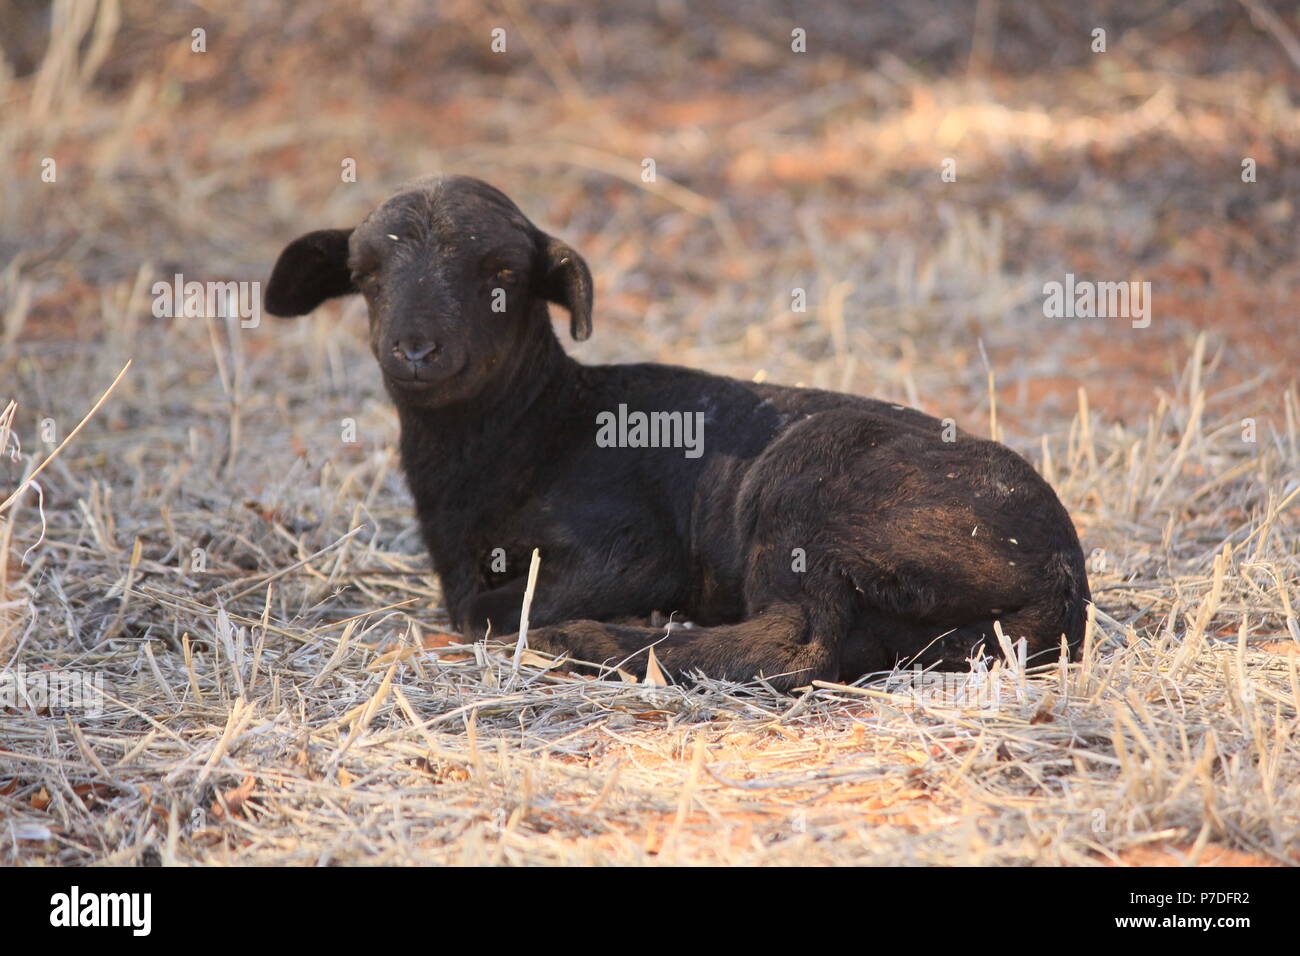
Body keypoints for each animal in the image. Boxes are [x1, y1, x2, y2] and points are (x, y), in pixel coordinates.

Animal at [265, 175, 1091, 689]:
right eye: (366, 275)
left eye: (502, 274)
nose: (415, 349)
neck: (538, 426)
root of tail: (1061, 570)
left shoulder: (631, 546)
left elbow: (488, 609)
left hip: (807, 478)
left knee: (795, 642)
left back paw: (598, 642)